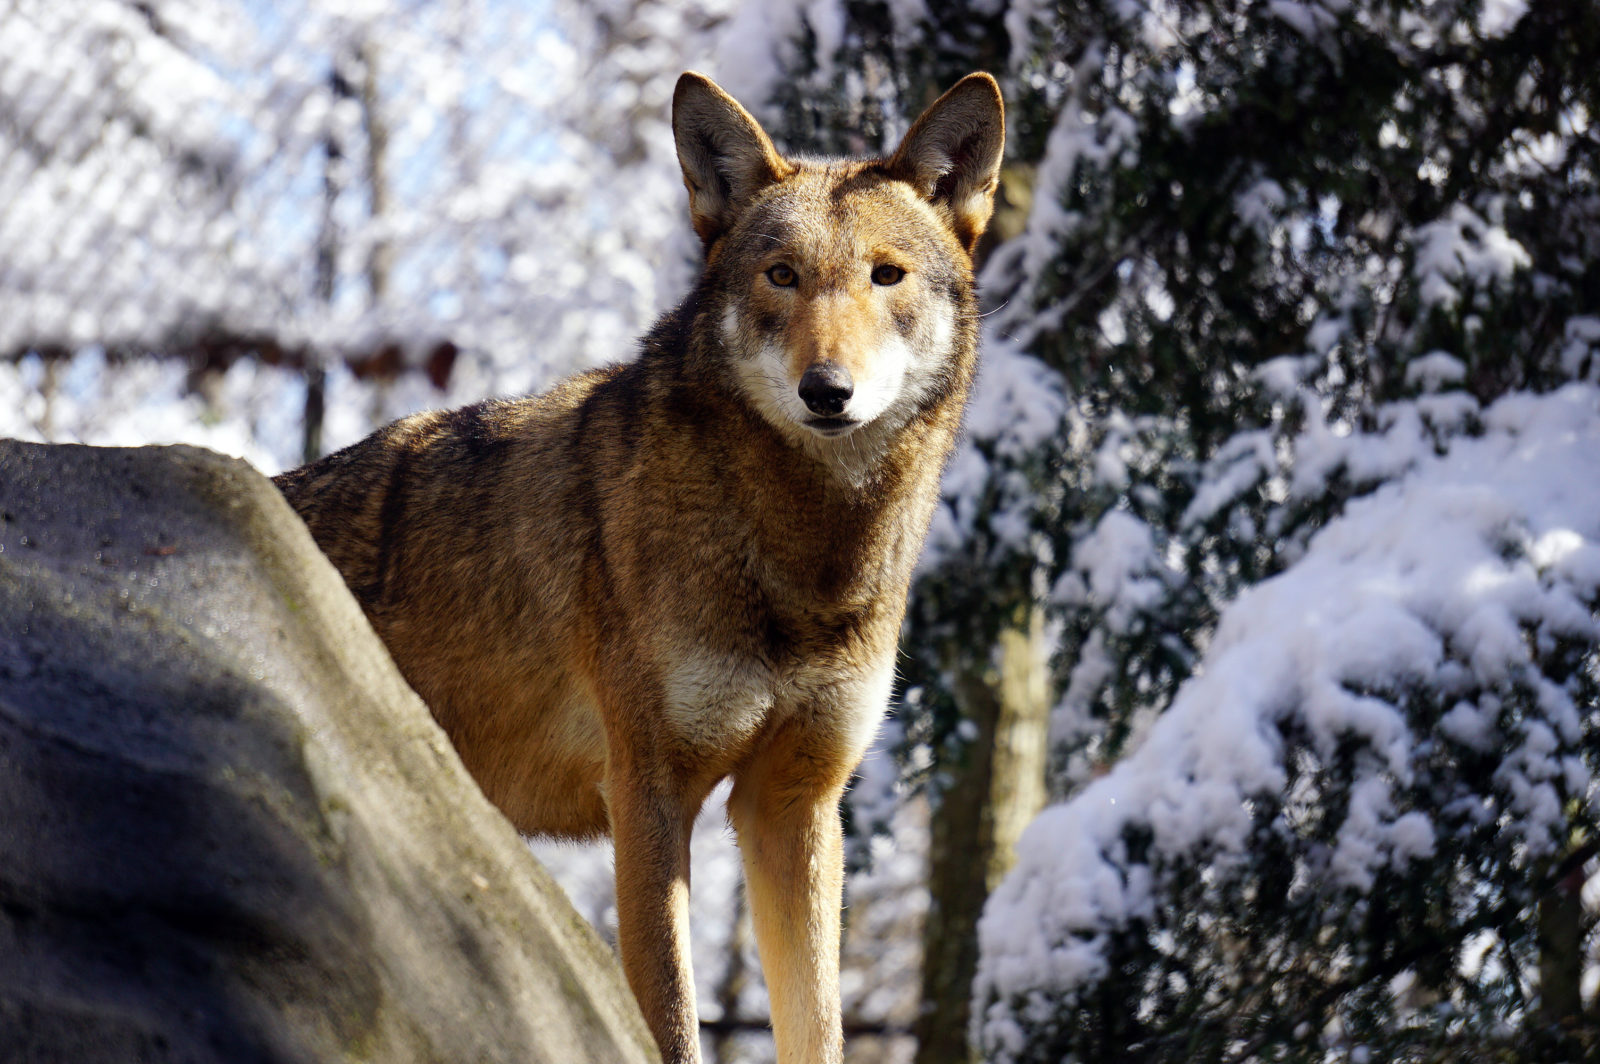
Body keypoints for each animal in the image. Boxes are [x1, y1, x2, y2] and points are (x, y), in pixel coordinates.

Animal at [274, 70, 1003, 1064]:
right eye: (782, 275)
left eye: (884, 275)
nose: (827, 391)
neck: (801, 559)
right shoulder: (649, 789)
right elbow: (673, 1022)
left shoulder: (793, 805)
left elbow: (817, 1029)